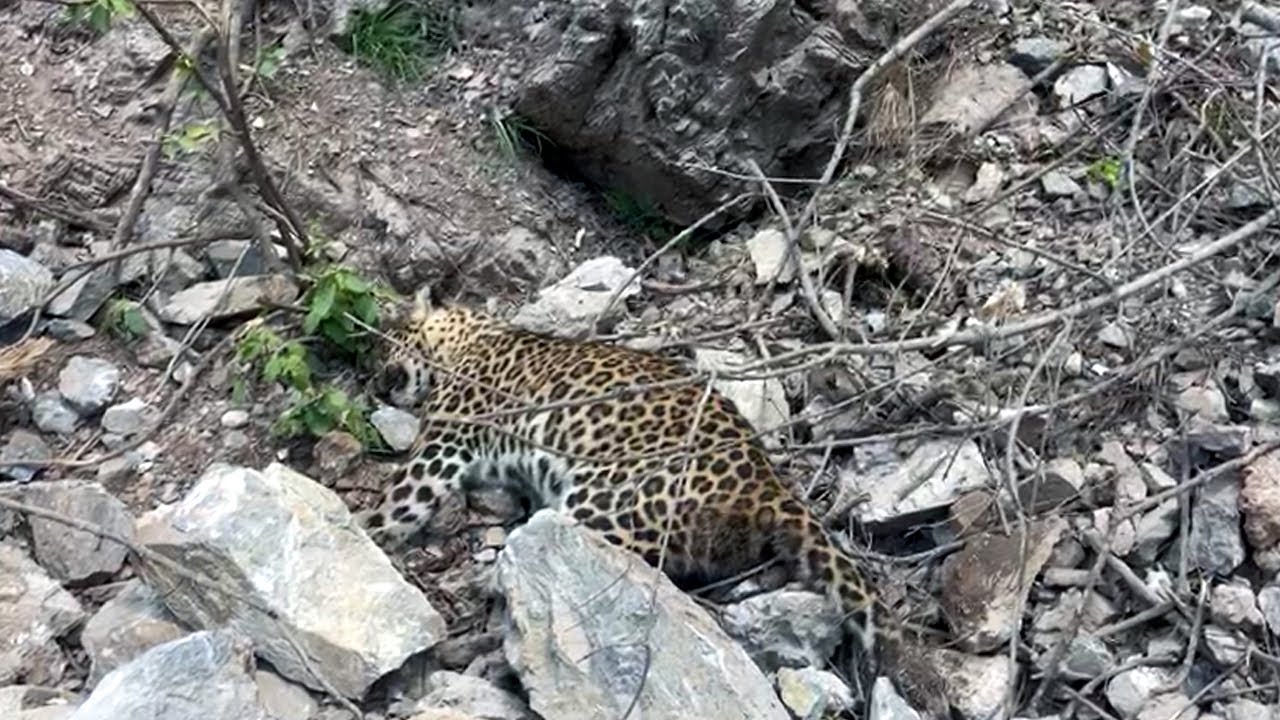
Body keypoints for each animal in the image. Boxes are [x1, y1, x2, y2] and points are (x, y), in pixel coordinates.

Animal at [355, 284, 883, 643]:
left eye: (384, 344)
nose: (375, 384)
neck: (467, 337)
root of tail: (767, 485)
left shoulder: (440, 450)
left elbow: (394, 507)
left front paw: (361, 531)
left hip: (601, 504)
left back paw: (488, 584)